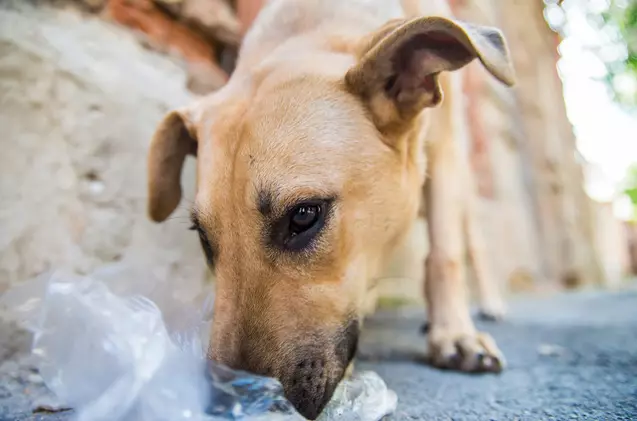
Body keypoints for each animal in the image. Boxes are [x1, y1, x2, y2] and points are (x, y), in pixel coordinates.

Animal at [144, 0, 512, 416]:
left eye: (304, 215)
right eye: (204, 238)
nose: (234, 402)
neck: (314, 22)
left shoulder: (445, 150)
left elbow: (444, 258)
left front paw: (455, 334)